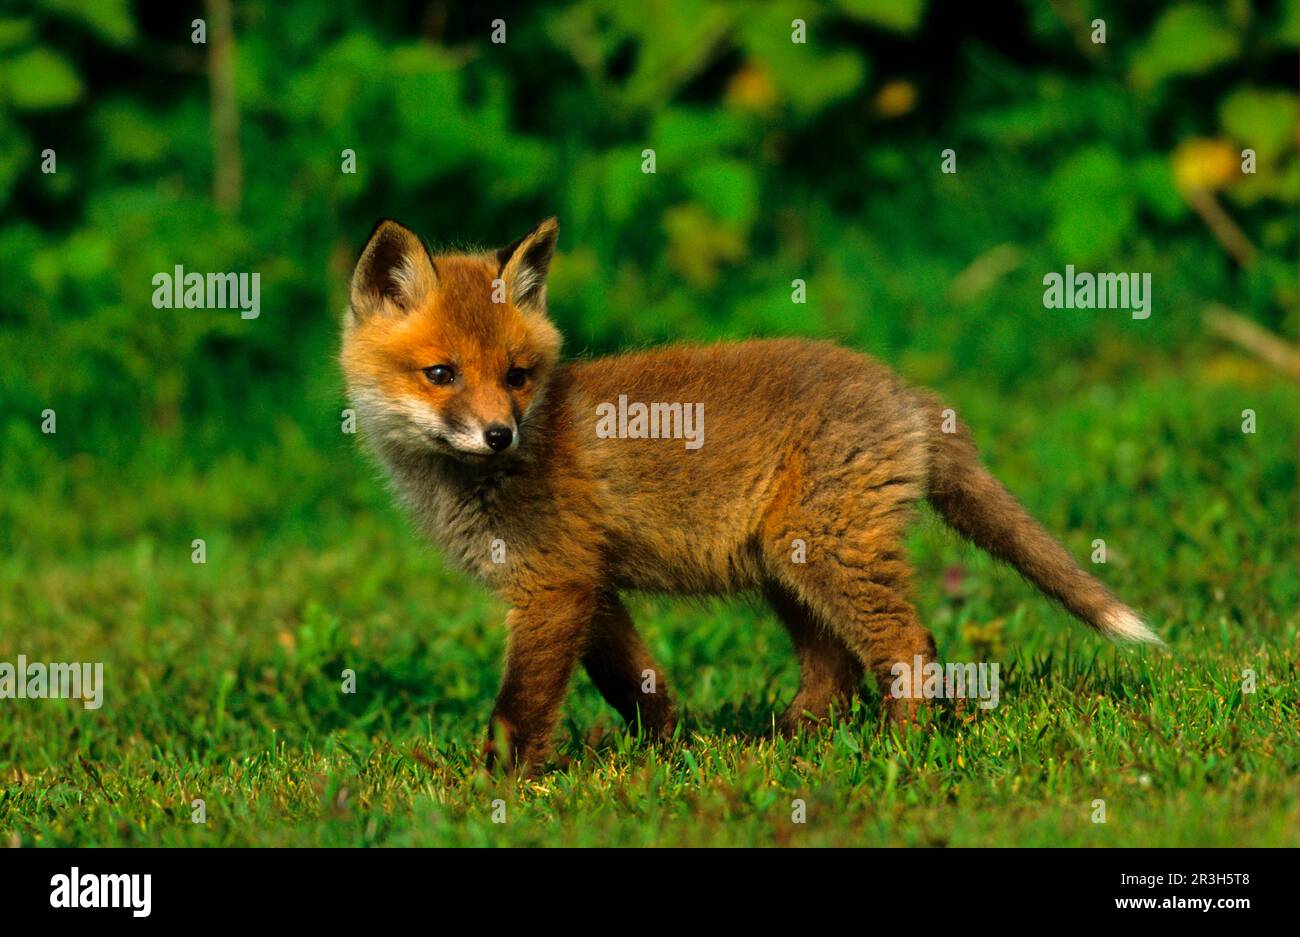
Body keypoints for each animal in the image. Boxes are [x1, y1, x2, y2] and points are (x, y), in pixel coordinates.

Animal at [340, 216, 1160, 772]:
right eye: (441, 374)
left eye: (516, 375)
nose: (499, 435)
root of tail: (903, 389)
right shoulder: (589, 583)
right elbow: (636, 682)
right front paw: (664, 749)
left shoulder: (553, 583)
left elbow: (520, 707)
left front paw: (494, 788)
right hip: (786, 566)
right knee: (836, 668)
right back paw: (787, 742)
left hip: (828, 555)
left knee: (910, 647)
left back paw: (899, 750)